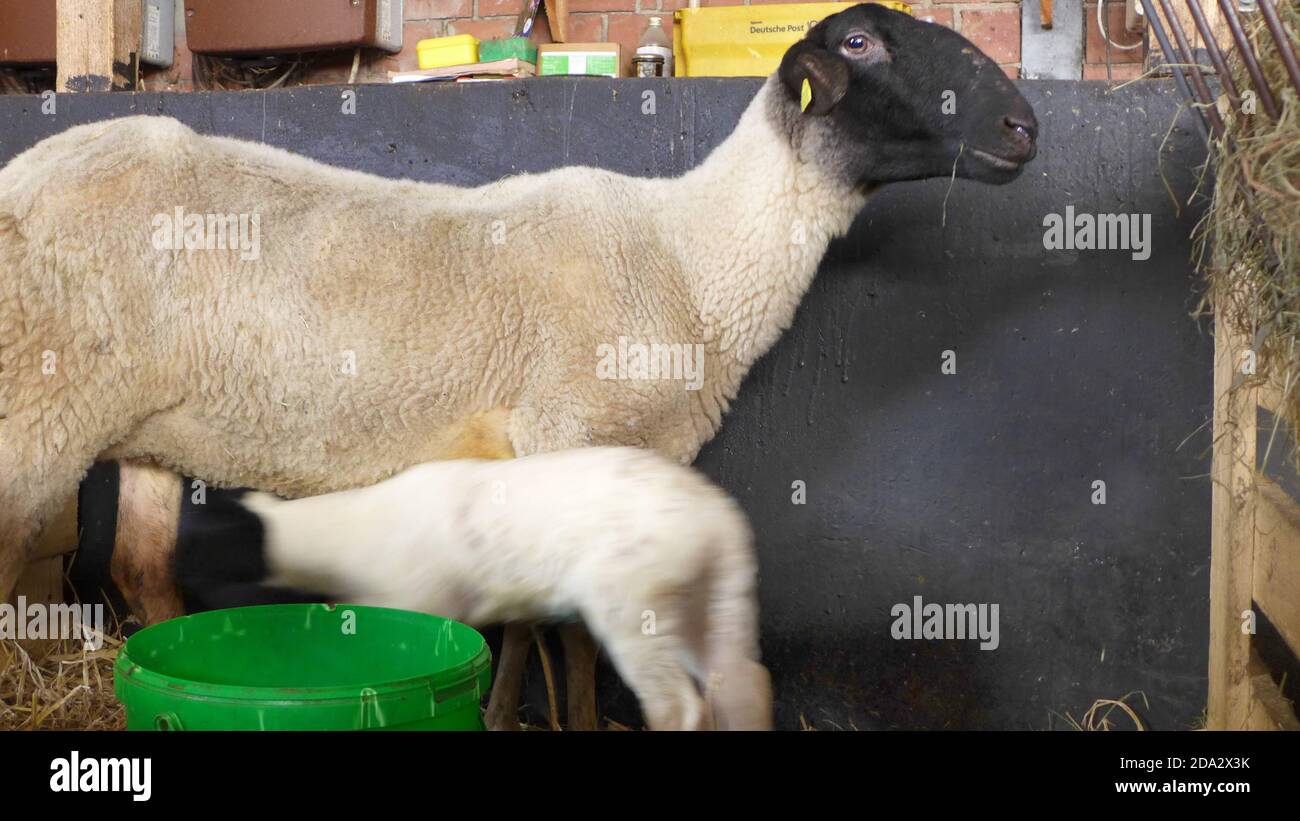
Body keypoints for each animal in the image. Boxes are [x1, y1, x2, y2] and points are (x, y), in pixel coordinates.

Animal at [166, 446, 771, 731]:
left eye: (195, 565)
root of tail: (715, 522)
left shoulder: (416, 606)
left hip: (635, 605)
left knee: (679, 706)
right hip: (715, 599)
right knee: (744, 683)